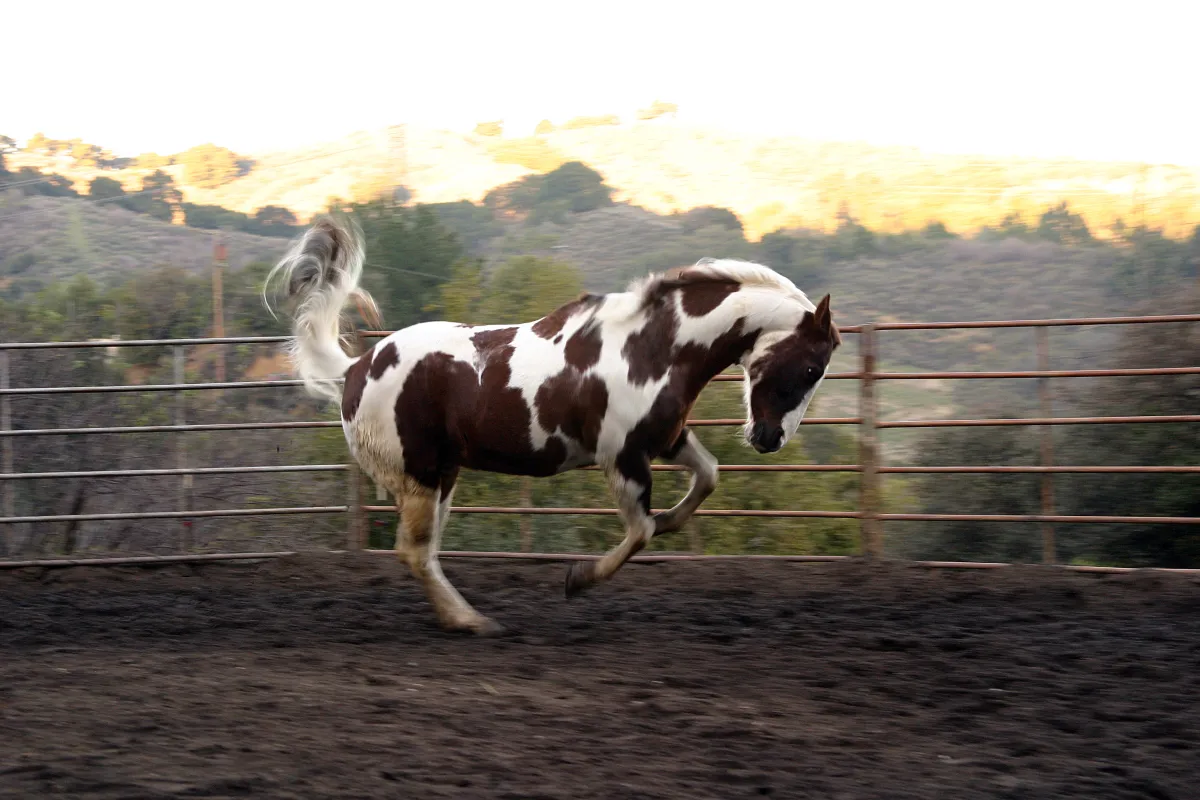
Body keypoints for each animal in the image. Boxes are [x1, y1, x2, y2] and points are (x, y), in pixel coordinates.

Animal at [265, 215, 841, 636]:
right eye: (812, 368)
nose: (770, 439)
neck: (655, 348)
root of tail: (354, 369)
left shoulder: (664, 439)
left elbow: (707, 477)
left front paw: (672, 521)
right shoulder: (622, 458)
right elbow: (641, 531)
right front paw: (579, 578)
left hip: (442, 477)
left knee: (420, 553)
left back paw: (465, 617)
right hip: (422, 478)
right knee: (415, 553)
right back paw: (471, 621)